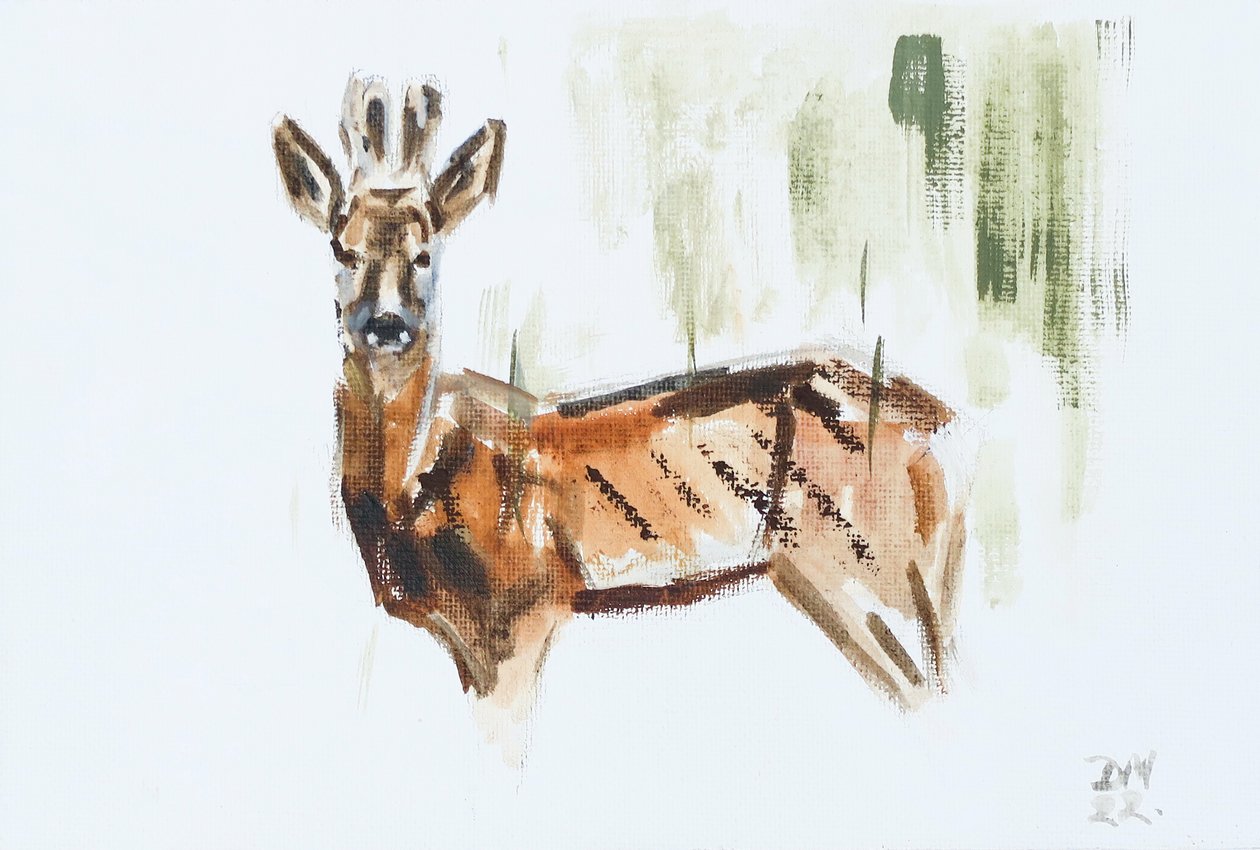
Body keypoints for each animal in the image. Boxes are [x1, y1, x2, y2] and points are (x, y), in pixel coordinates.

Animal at [272, 74, 968, 718]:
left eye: (424, 255)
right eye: (342, 249)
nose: (387, 324)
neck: (413, 486)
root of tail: (942, 425)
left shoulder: (522, 614)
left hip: (866, 570)